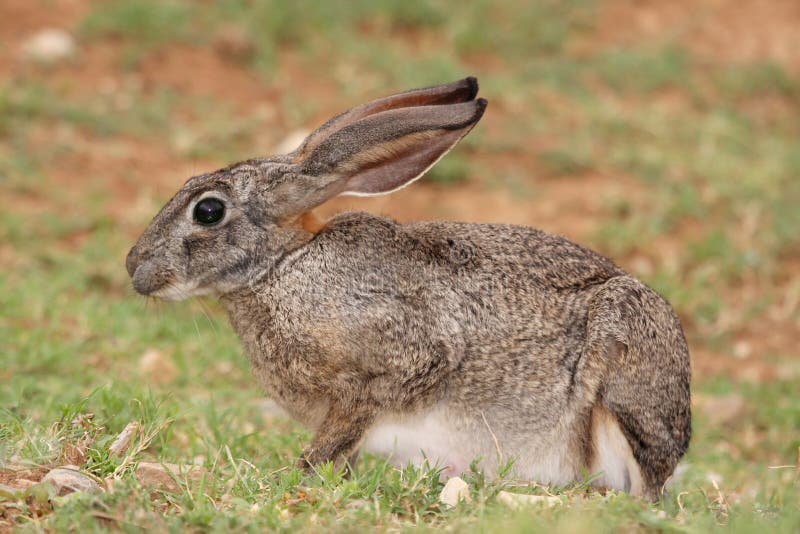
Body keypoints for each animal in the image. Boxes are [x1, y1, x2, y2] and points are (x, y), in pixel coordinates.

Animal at [126, 77, 691, 501]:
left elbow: (349, 423)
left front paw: (300, 472)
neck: (281, 267)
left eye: (208, 210)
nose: (135, 268)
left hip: (621, 366)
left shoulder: (402, 361)